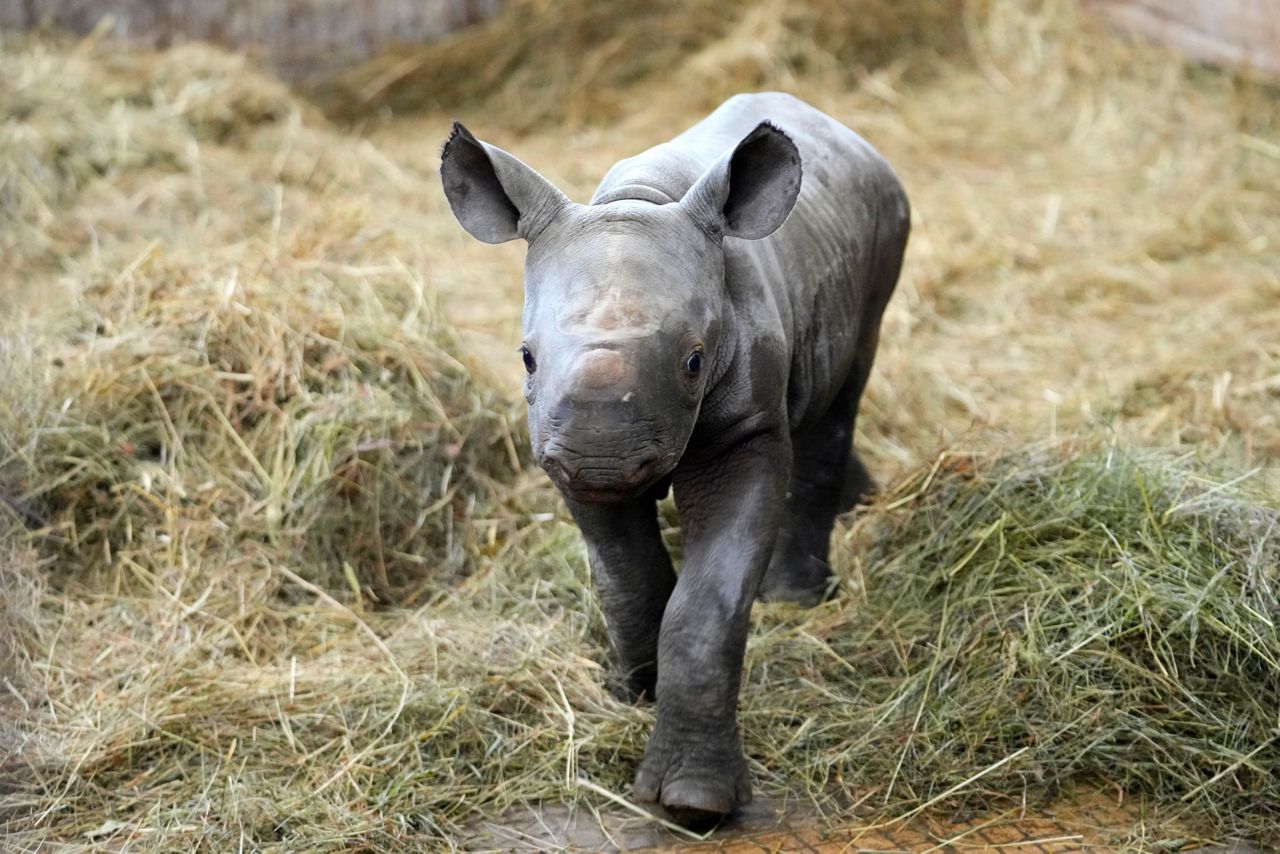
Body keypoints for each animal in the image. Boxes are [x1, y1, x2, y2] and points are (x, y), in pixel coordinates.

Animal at [440, 92, 910, 825]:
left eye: (694, 361)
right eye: (526, 358)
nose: (599, 459)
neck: (641, 200)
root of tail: (848, 136)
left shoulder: (746, 431)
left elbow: (706, 602)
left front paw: (694, 804)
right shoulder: (557, 444)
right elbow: (626, 576)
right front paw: (634, 692)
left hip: (885, 229)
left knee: (843, 391)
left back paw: (795, 599)